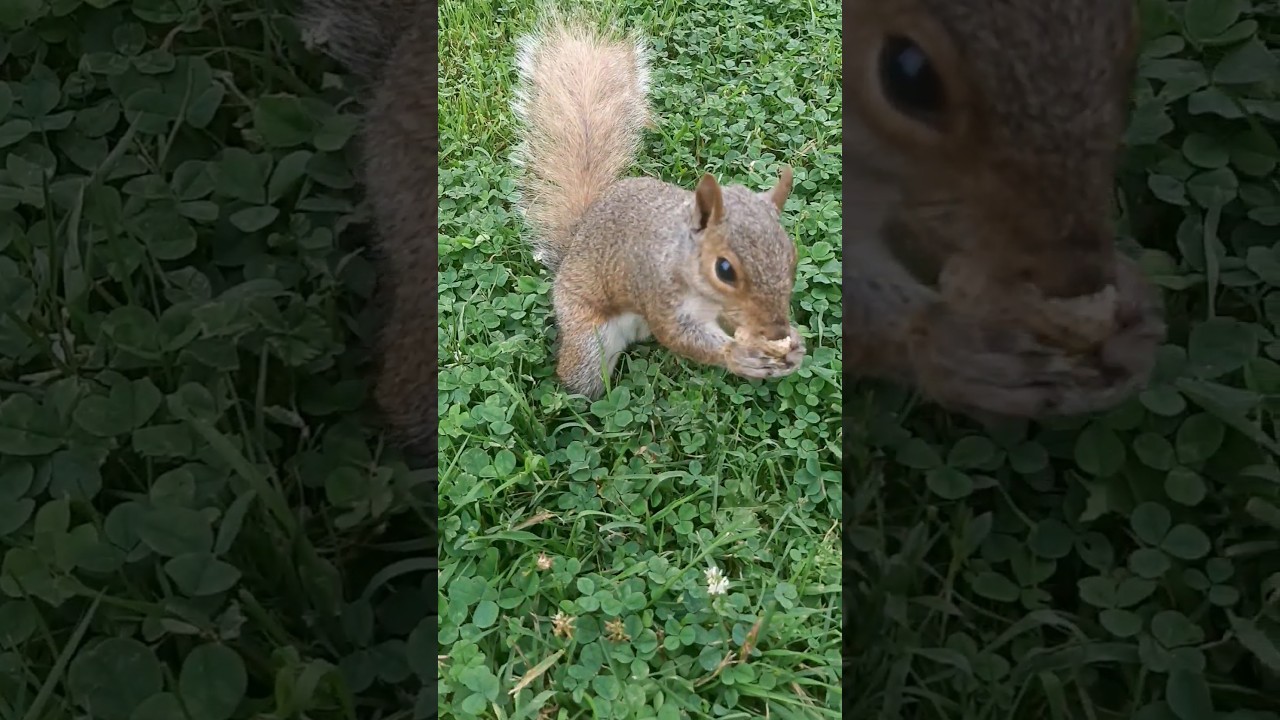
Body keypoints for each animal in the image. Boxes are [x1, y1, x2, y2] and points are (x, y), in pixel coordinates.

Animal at [510, 14, 808, 399]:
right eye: (724, 269)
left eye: (791, 255)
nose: (776, 331)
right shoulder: (654, 287)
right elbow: (677, 334)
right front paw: (737, 354)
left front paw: (794, 346)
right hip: (587, 336)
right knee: (580, 373)